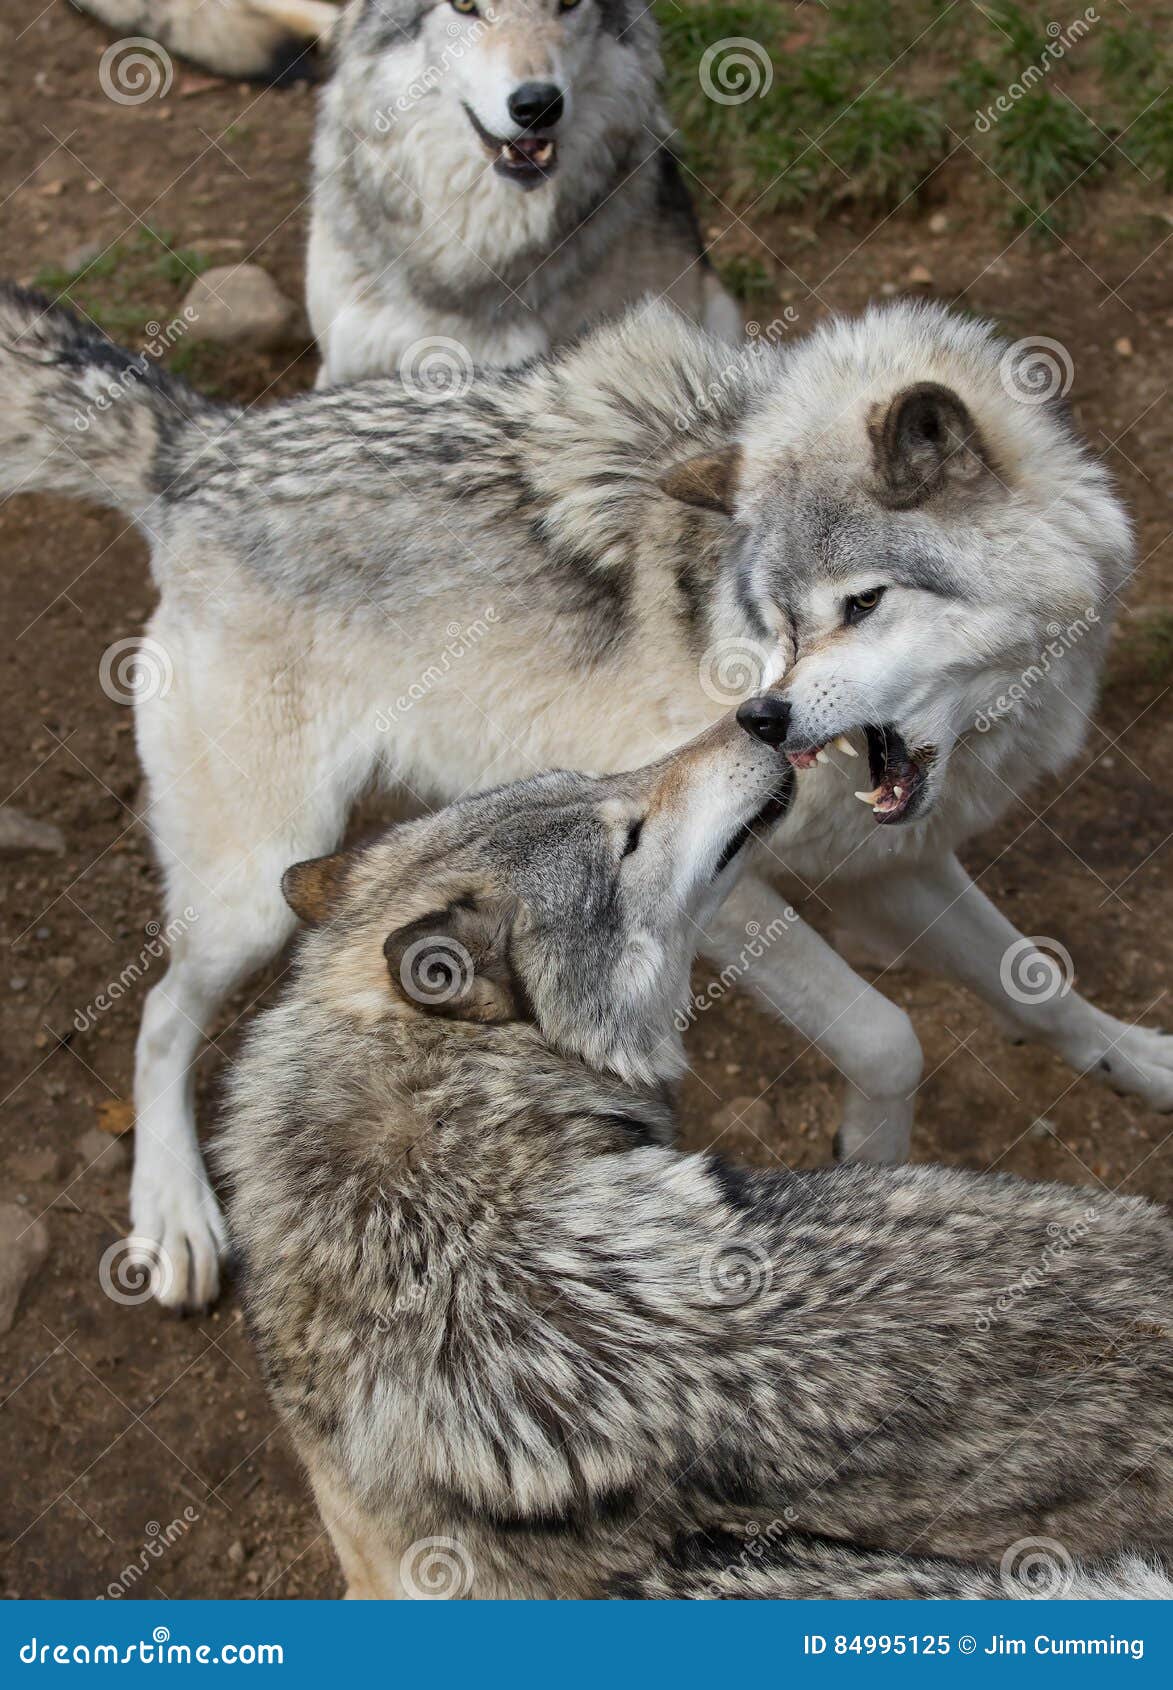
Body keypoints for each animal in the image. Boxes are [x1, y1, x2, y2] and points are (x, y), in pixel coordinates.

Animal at [2, 283, 1169, 1311]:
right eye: (783, 621)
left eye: (862, 605)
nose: (763, 721)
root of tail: (198, 447)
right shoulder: (721, 886)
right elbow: (888, 1035)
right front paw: (873, 1155)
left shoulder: (890, 865)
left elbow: (1037, 983)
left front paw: (1147, 1064)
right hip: (251, 891)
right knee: (158, 1015)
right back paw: (175, 1220)